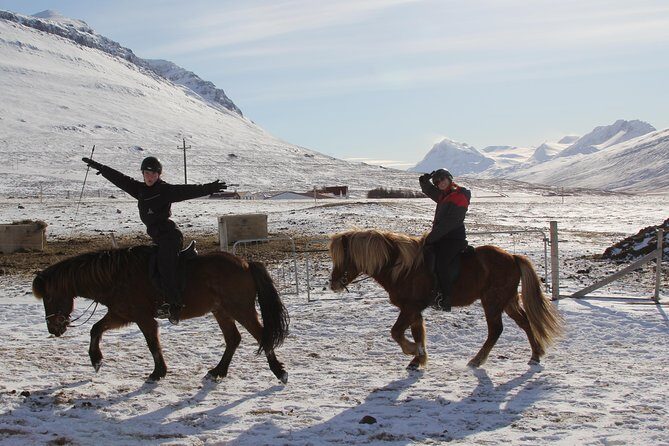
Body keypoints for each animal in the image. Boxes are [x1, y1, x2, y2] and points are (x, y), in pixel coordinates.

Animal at [32, 245, 290, 383]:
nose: (53, 328)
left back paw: (279, 372)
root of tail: (246, 263)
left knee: (262, 336)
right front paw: (96, 360)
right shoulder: (121, 314)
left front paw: (158, 373)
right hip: (221, 311)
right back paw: (218, 371)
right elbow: (96, 329)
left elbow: (152, 344)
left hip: (240, 309)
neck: (117, 276)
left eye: (49, 298)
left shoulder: (142, 318)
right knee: (233, 339)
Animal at [328, 229, 563, 370]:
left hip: (493, 302)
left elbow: (396, 332)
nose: (333, 283)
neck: (401, 267)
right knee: (525, 322)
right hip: (508, 301)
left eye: (343, 258)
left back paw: (477, 360)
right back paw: (535, 355)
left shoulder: (410, 307)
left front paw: (412, 351)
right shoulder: (413, 310)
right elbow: (417, 333)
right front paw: (419, 358)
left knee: (496, 330)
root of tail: (513, 257)